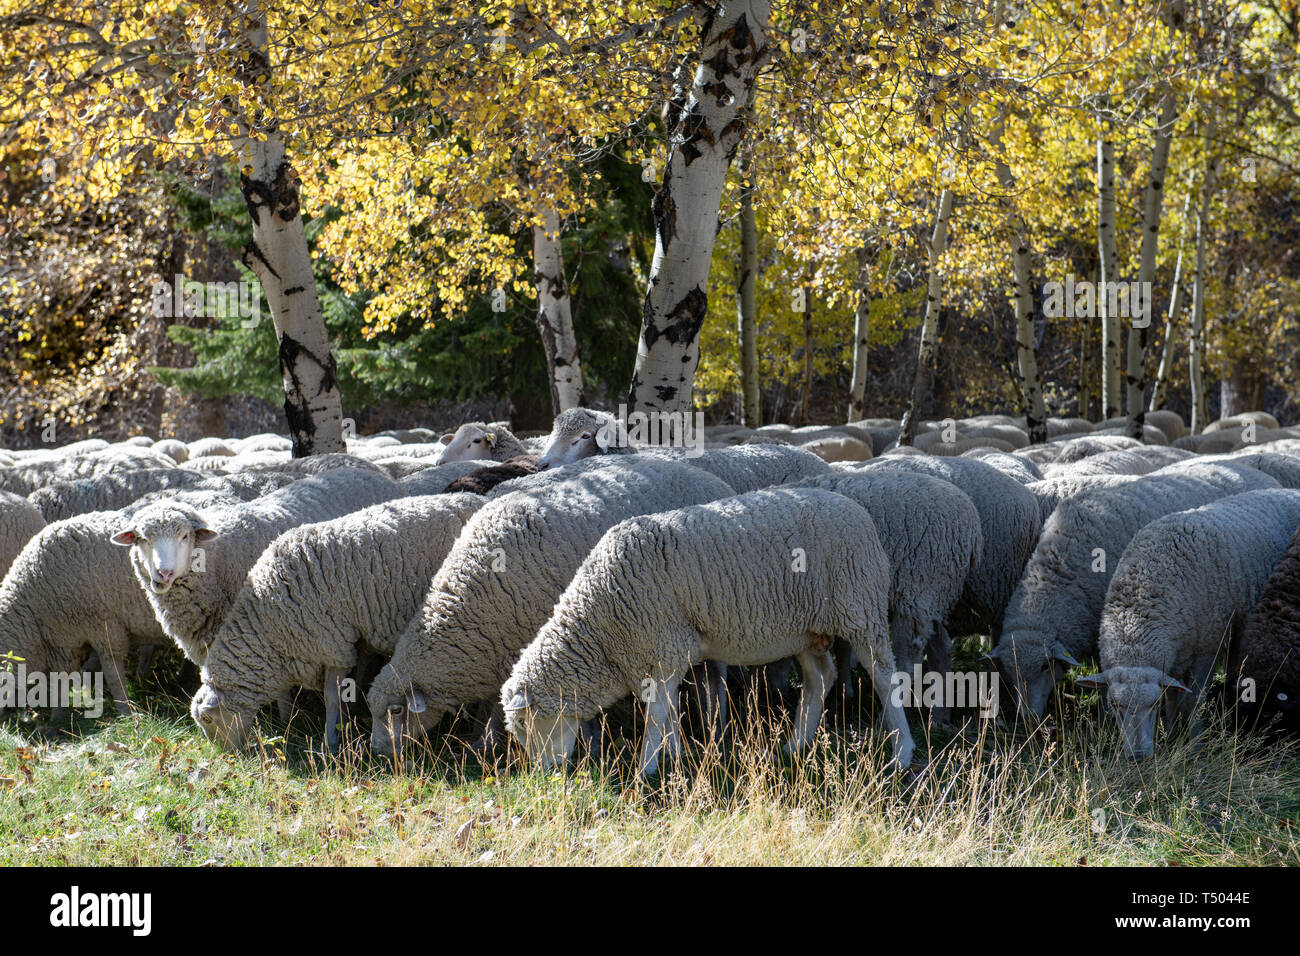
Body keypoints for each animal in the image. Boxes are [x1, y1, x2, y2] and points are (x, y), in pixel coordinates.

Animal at [191, 494, 485, 752]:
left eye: (207, 719)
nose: (224, 755)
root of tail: (477, 498)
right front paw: (345, 723)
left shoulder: (332, 644)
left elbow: (332, 696)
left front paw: (330, 741)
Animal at [366, 457, 735, 759]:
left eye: (395, 711)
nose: (378, 752)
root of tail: (708, 476)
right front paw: (483, 740)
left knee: (714, 677)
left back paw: (715, 725)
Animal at [501, 488, 913, 774]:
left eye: (524, 723)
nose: (545, 775)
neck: (601, 626)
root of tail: (858, 511)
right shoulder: (659, 656)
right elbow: (667, 711)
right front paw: (673, 757)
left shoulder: (664, 646)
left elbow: (656, 715)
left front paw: (645, 769)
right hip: (806, 628)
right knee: (820, 678)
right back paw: (795, 745)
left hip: (859, 606)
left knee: (884, 677)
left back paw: (902, 753)